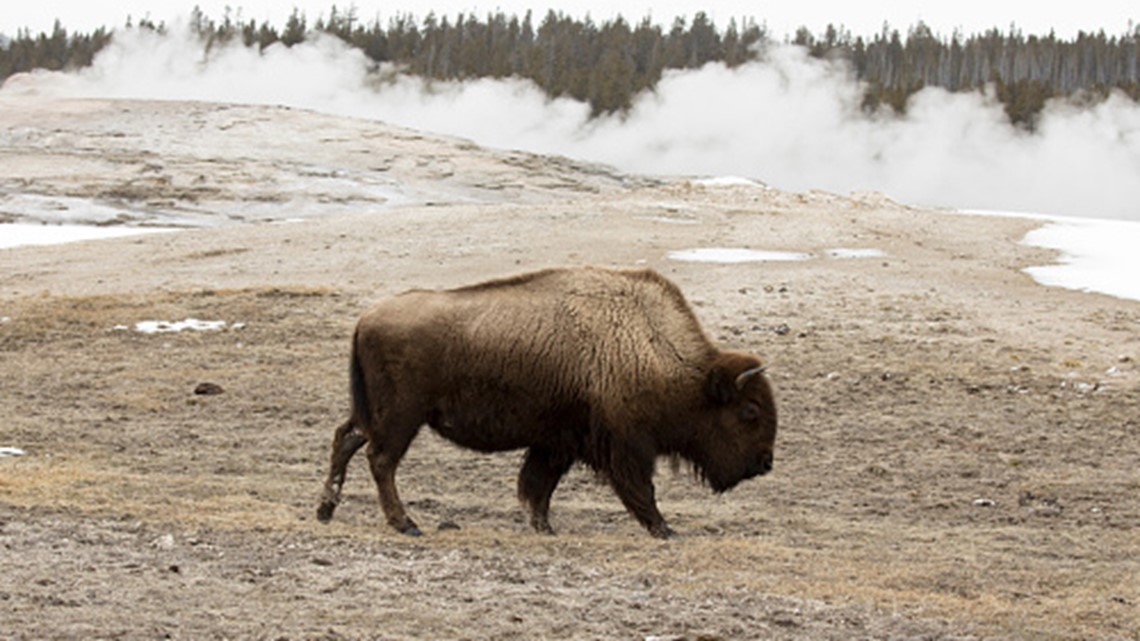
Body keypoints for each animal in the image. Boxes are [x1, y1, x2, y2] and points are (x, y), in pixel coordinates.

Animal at [317, 266, 777, 538]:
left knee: (346, 439)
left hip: (375, 413)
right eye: (749, 411)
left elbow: (540, 484)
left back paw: (326, 510)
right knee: (381, 461)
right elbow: (640, 489)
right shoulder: (625, 447)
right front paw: (663, 529)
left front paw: (543, 525)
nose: (764, 463)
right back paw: (405, 524)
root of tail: (366, 319)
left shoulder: (557, 442)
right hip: (401, 416)